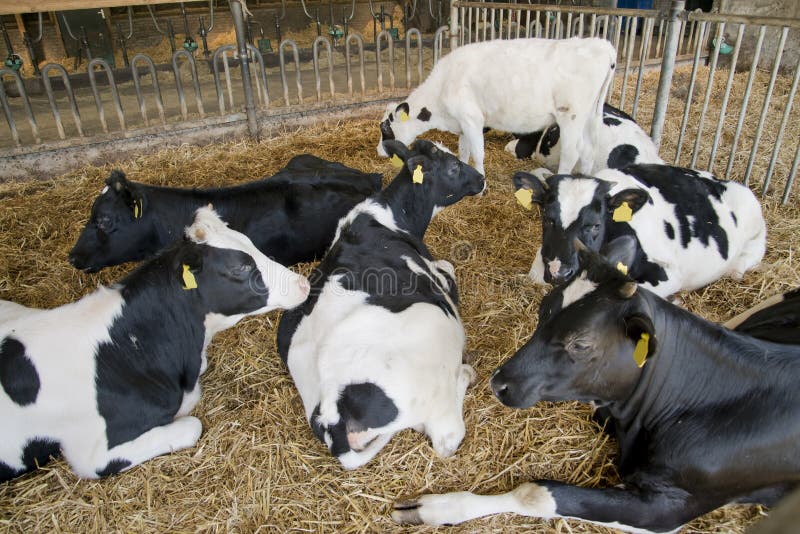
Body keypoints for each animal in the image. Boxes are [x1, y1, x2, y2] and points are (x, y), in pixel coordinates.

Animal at [276, 139, 485, 470]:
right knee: (447, 436)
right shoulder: (438, 277)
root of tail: (332, 414)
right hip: (434, 328)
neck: (389, 220)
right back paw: (465, 374)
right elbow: (449, 269)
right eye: (453, 167)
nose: (481, 179)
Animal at [377, 37, 617, 176]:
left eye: (385, 128)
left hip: (571, 116)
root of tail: (600, 44)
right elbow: (463, 150)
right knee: (588, 152)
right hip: (590, 115)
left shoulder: (472, 118)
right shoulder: (462, 123)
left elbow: (478, 152)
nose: (378, 150)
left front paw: (481, 183)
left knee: (571, 154)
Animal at [392, 243, 800, 531]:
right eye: (543, 311)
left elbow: (535, 493)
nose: (500, 382)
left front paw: (437, 508)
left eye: (582, 342)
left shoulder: (670, 506)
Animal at [513, 163, 766, 298]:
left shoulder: (668, 274)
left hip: (754, 228)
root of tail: (718, 180)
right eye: (547, 218)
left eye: (595, 225)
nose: (559, 271)